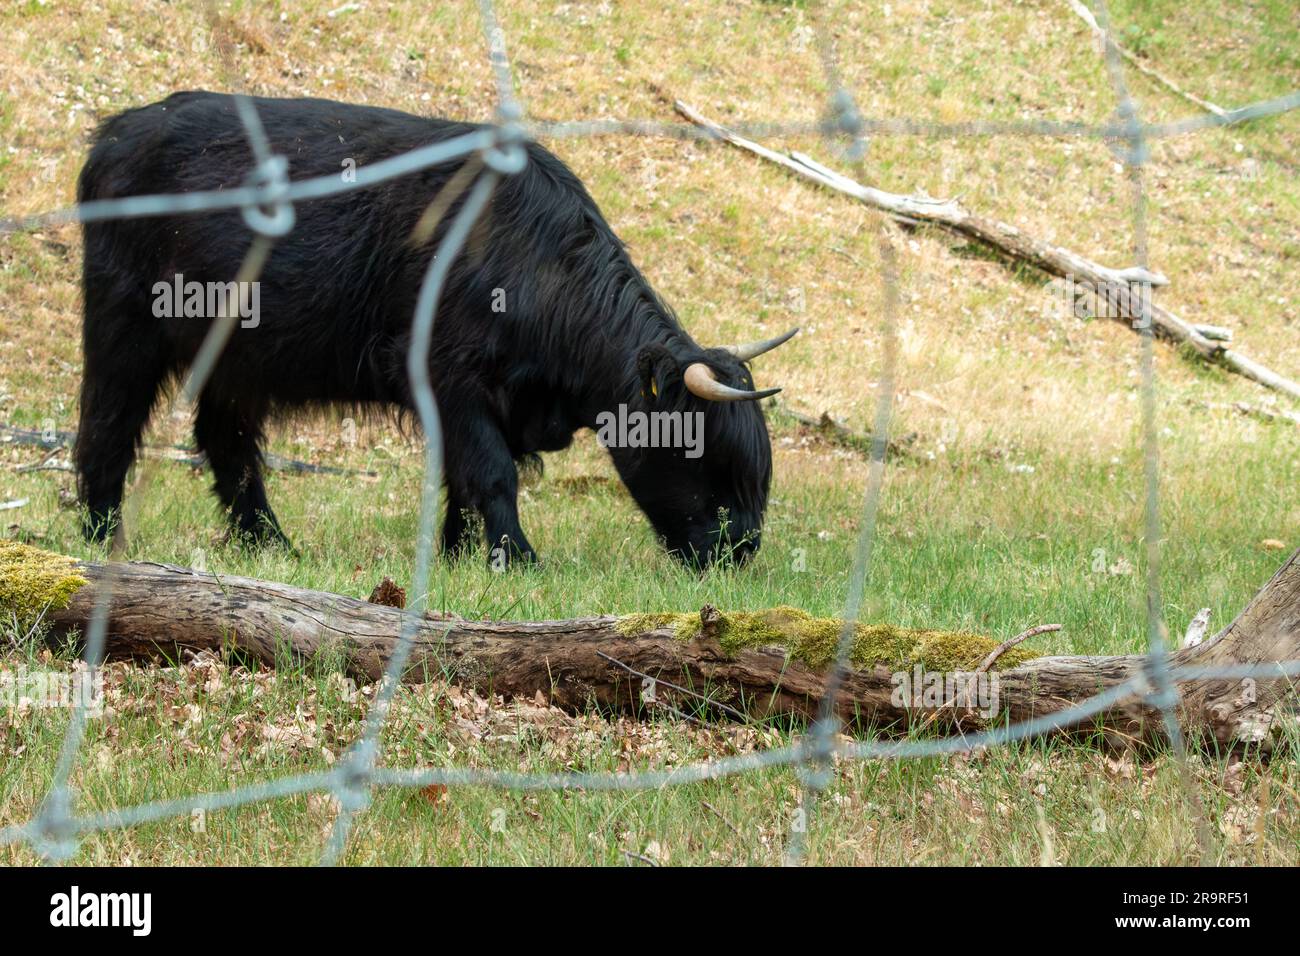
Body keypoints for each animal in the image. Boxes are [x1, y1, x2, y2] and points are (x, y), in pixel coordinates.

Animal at [74, 92, 795, 568]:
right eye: (701, 453)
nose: (742, 550)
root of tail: (121, 129)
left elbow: (462, 476)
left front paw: (458, 554)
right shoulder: (452, 377)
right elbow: (492, 472)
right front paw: (517, 558)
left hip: (237, 357)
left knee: (227, 443)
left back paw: (269, 543)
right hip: (124, 326)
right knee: (109, 423)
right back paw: (101, 534)